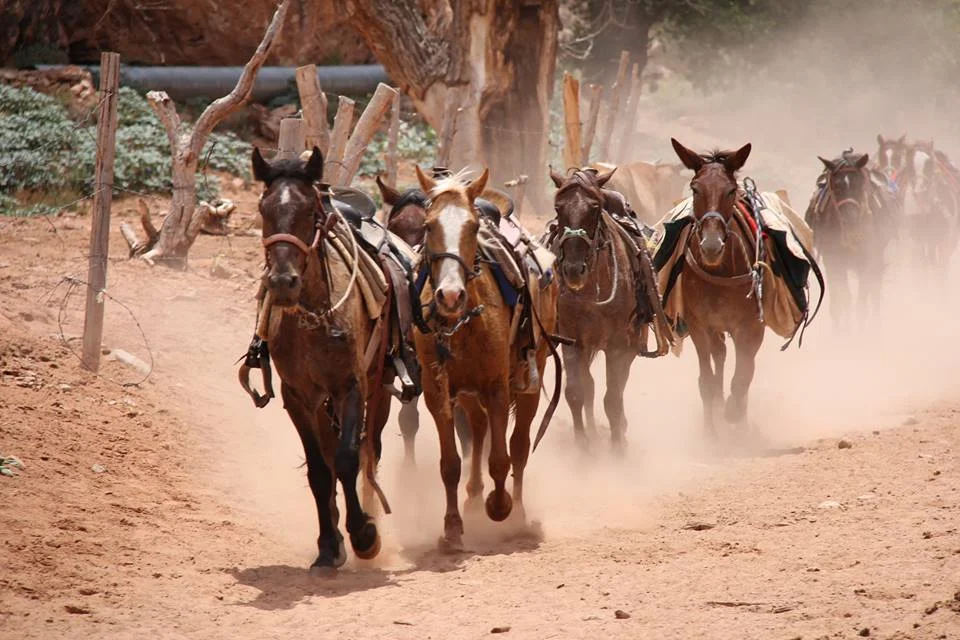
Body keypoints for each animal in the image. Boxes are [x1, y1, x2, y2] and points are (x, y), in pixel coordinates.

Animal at [251, 146, 386, 571]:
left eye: (311, 210)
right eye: (263, 209)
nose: (282, 282)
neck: (312, 319)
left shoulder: (351, 386)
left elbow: (346, 459)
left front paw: (364, 535)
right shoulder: (298, 397)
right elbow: (319, 471)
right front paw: (329, 545)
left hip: (380, 389)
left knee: (369, 451)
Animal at [412, 165, 559, 550]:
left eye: (473, 226)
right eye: (428, 225)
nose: (449, 295)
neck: (463, 322)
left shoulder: (497, 387)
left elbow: (501, 458)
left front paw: (500, 505)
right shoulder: (437, 392)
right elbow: (450, 463)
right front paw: (452, 526)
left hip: (532, 375)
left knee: (519, 445)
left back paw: (516, 512)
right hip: (466, 390)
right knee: (478, 429)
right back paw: (475, 497)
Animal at [547, 167, 669, 451]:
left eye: (594, 207)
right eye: (558, 207)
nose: (573, 269)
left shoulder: (618, 347)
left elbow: (612, 399)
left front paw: (617, 449)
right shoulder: (572, 341)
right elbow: (576, 392)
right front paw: (583, 446)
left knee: (616, 390)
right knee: (589, 386)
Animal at [668, 138, 765, 437]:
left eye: (731, 190)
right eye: (695, 189)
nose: (711, 246)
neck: (719, 270)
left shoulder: (751, 326)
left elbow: (744, 375)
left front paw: (735, 415)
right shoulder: (699, 325)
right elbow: (707, 381)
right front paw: (712, 432)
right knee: (718, 357)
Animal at [805, 150, 893, 329]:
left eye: (860, 185)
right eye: (836, 186)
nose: (851, 220)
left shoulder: (870, 258)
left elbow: (862, 298)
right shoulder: (834, 261)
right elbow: (844, 296)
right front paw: (844, 329)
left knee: (874, 292)